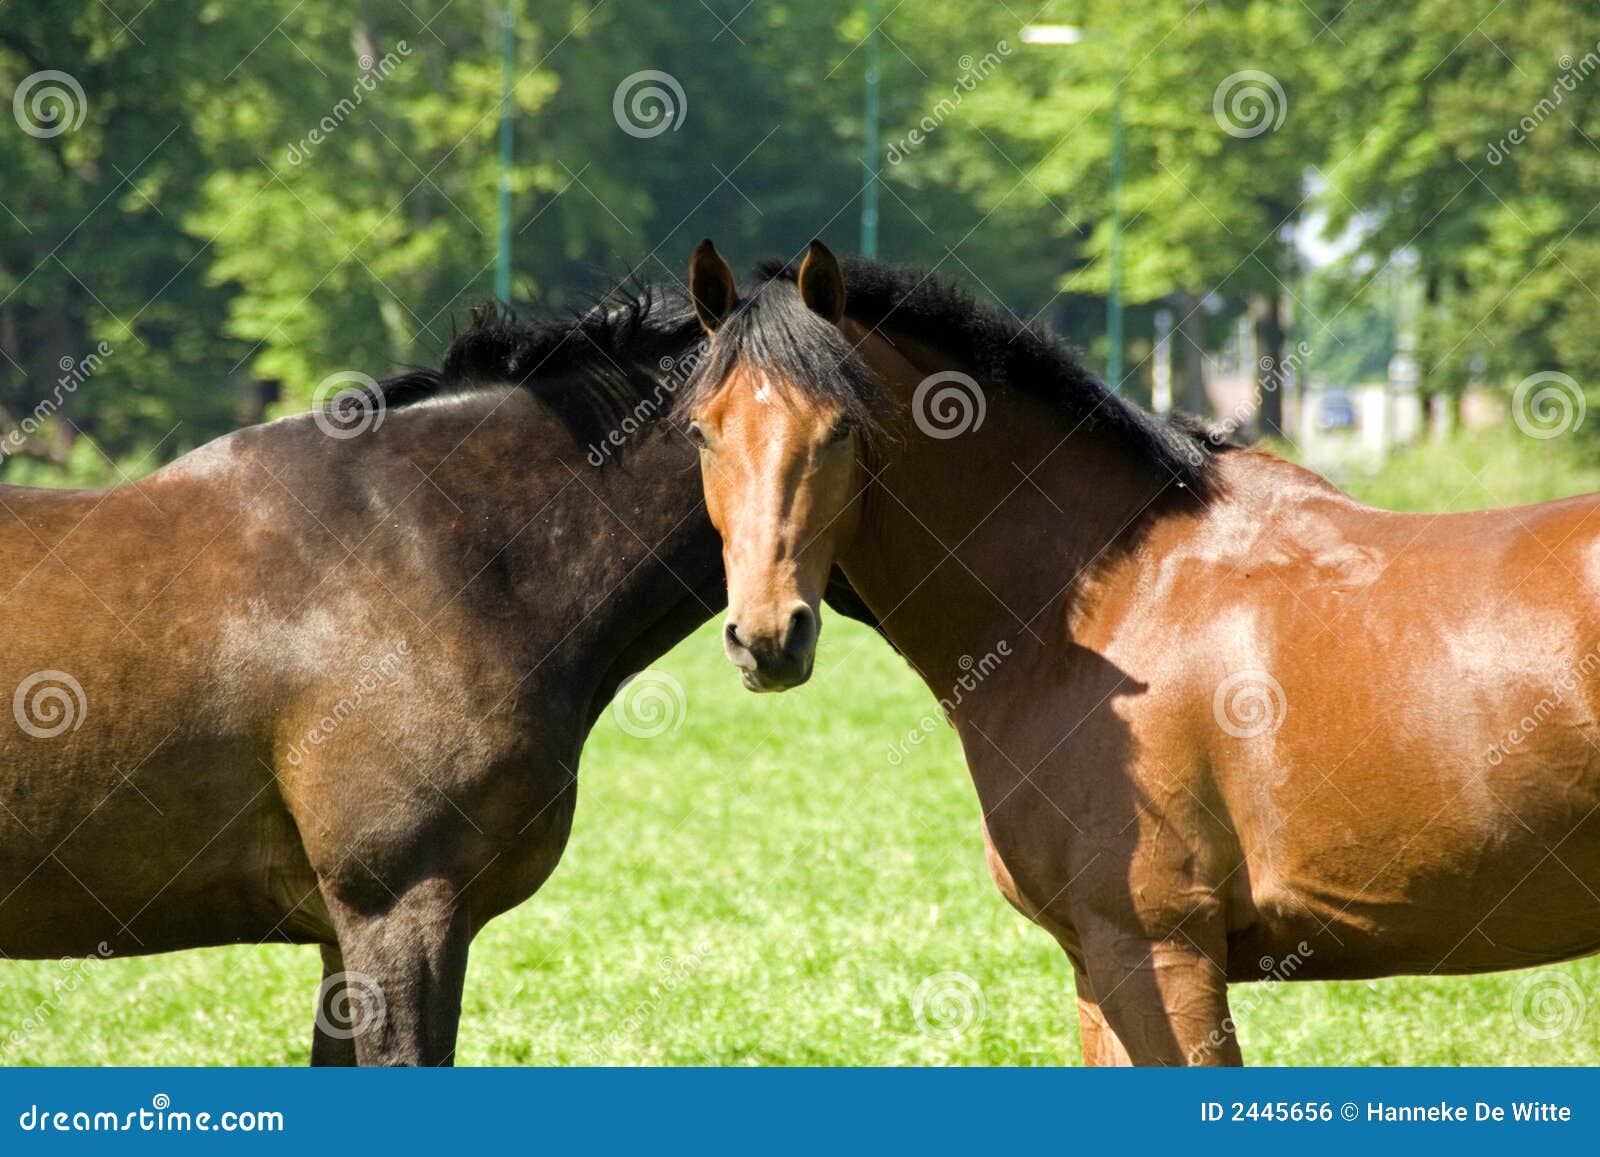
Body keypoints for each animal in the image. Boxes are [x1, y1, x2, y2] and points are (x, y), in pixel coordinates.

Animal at [0, 289, 875, 1065]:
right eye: (703, 432)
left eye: (844, 430)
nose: (769, 633)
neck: (427, 550)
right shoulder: (400, 911)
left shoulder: (343, 938)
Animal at [677, 236, 1600, 1065]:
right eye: (702, 433)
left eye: (840, 430)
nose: (768, 635)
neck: (1097, 606)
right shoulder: (1096, 963)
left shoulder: (1156, 949)